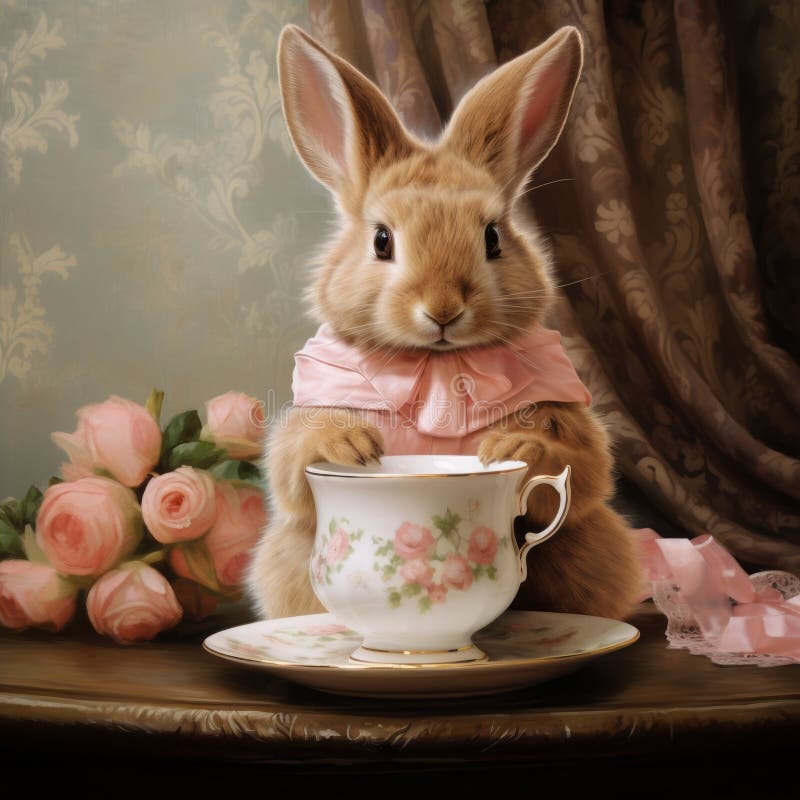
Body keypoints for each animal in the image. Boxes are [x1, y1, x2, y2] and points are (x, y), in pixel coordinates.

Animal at [244, 23, 646, 622]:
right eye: (381, 240)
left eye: (493, 238)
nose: (442, 308)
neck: (436, 365)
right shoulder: (307, 422)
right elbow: (293, 465)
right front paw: (353, 447)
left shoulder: (568, 422)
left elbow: (583, 470)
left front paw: (513, 449)